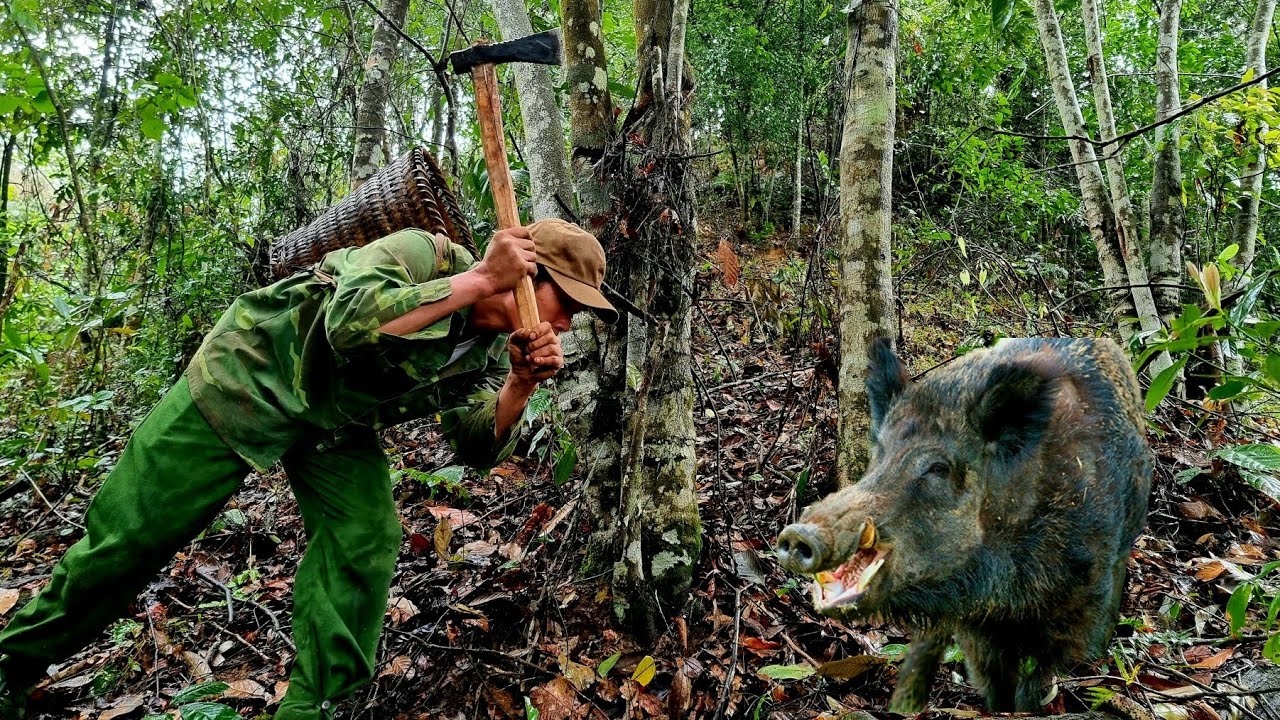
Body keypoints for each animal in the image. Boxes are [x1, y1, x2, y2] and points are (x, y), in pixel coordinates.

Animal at [776, 337, 1151, 712]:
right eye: (880, 451)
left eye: (938, 468)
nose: (798, 534)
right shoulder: (976, 625)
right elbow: (992, 676)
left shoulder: (1072, 607)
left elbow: (1036, 675)